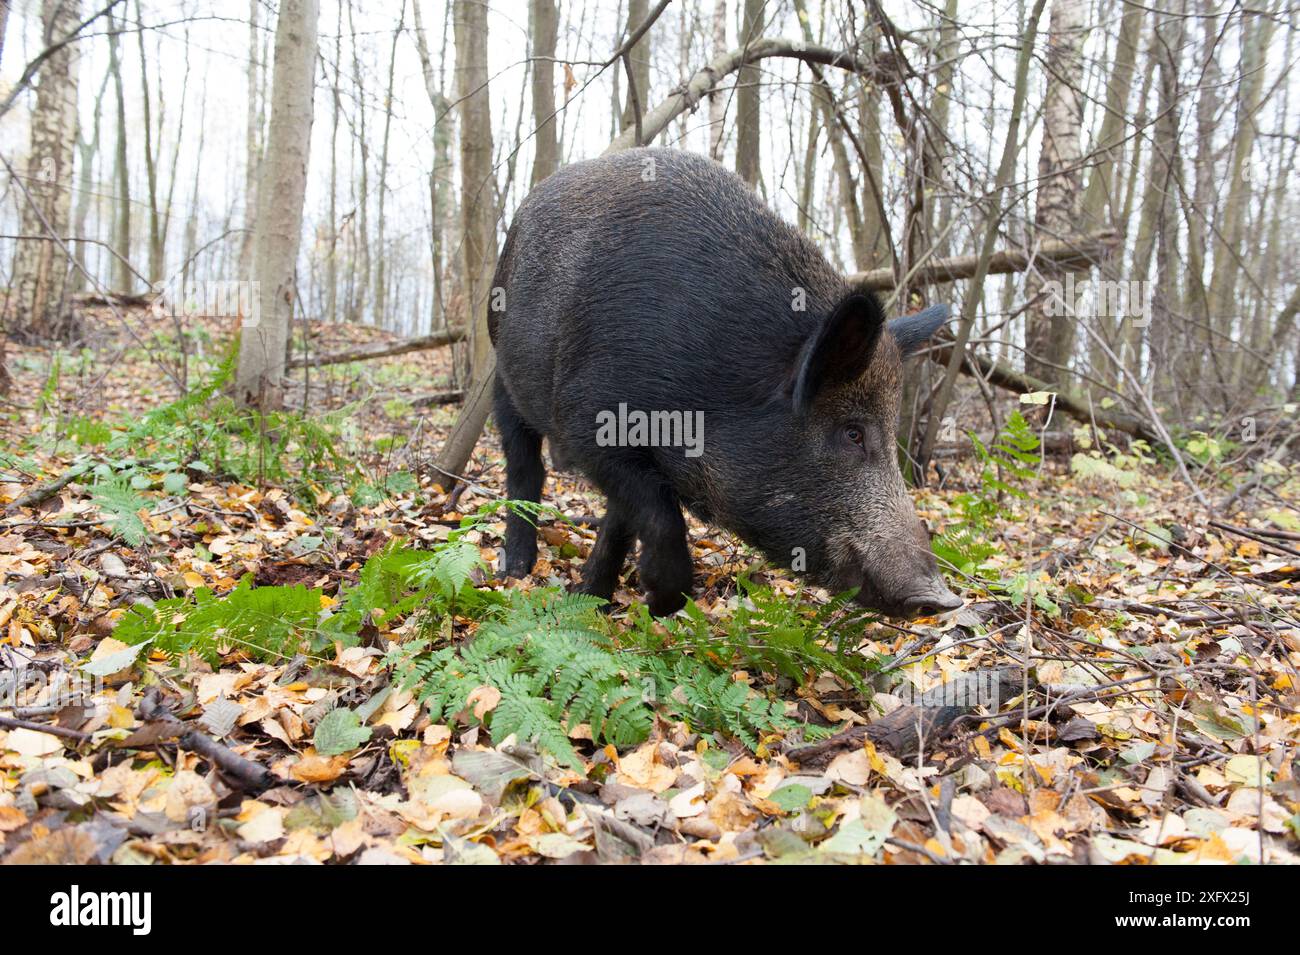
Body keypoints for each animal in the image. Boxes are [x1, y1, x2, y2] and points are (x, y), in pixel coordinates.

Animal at [488, 147, 962, 619]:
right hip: (501, 374)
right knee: (524, 467)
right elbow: (657, 513)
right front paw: (660, 599)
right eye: (852, 432)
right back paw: (515, 571)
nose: (944, 599)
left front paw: (611, 600)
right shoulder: (587, 419)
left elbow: (625, 516)